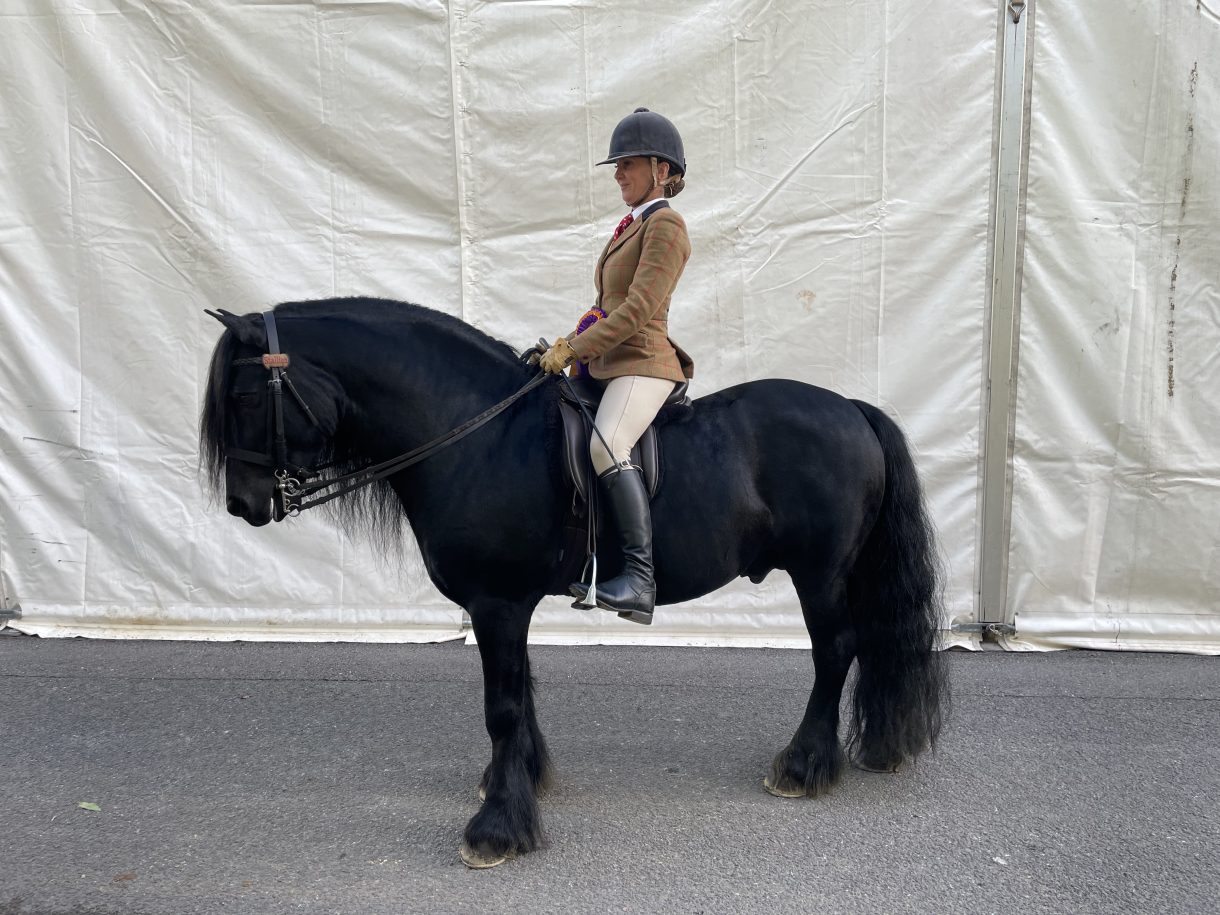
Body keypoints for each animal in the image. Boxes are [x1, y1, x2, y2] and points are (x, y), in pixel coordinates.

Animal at [200, 296, 947, 868]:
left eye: (244, 395)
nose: (243, 503)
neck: (476, 431)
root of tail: (851, 407)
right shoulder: (508, 605)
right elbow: (521, 693)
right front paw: (520, 780)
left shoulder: (497, 601)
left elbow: (501, 707)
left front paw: (499, 828)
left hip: (820, 574)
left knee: (835, 651)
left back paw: (802, 765)